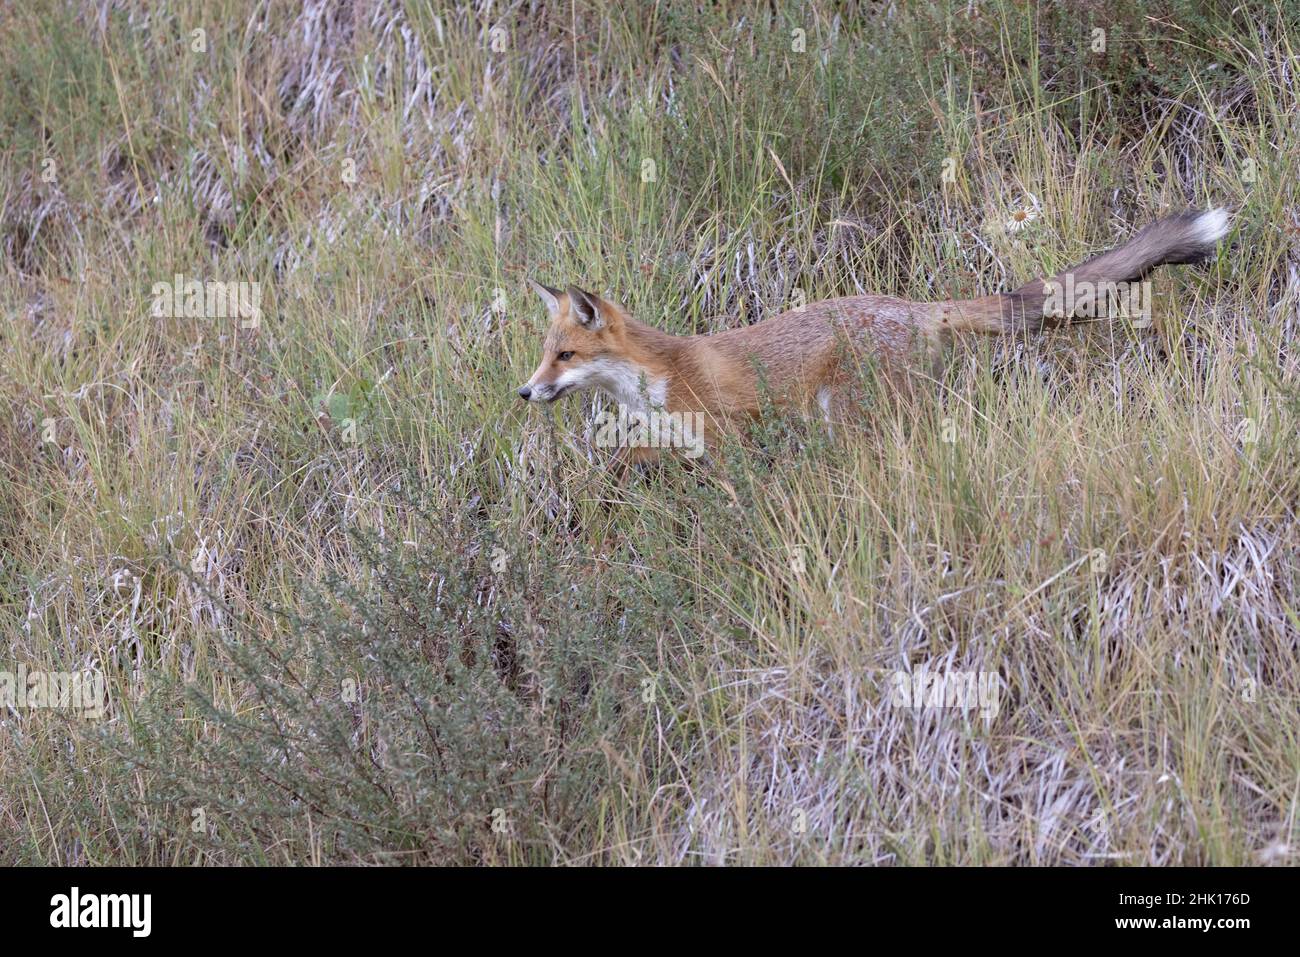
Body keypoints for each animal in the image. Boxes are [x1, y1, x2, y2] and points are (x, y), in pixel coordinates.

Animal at [517, 207, 1231, 471]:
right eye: (544, 355)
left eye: (565, 356)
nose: (524, 392)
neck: (657, 378)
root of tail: (915, 307)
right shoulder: (678, 441)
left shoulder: (727, 439)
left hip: (853, 417)